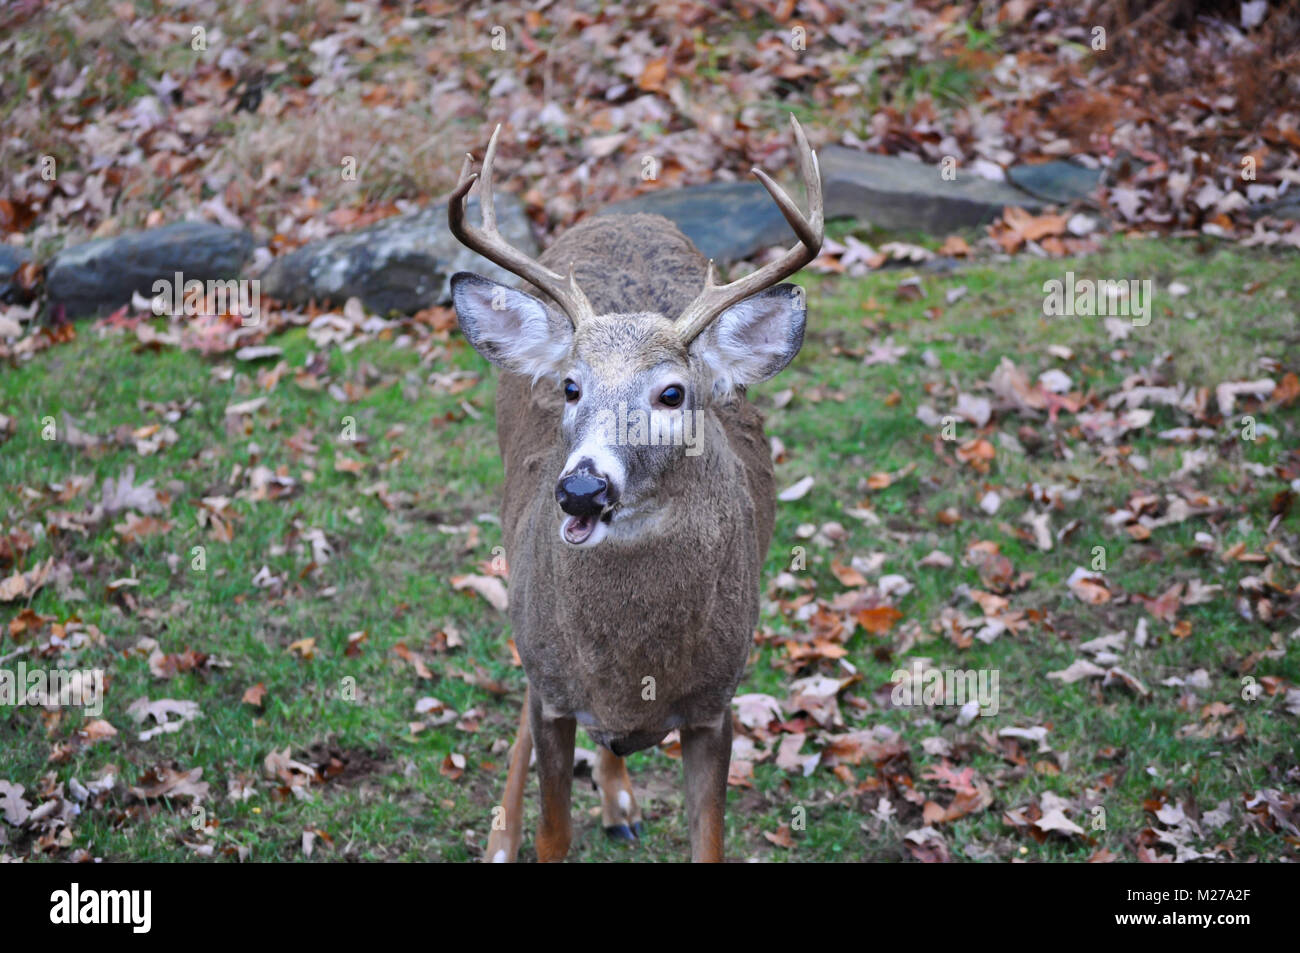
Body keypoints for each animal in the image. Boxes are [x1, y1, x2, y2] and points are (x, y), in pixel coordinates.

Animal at [447, 115, 823, 863]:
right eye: (570, 386)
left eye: (672, 393)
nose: (582, 489)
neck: (632, 672)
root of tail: (623, 212)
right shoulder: (554, 688)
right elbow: (553, 835)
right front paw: (522, 834)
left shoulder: (715, 705)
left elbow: (708, 843)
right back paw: (502, 836)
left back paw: (619, 801)